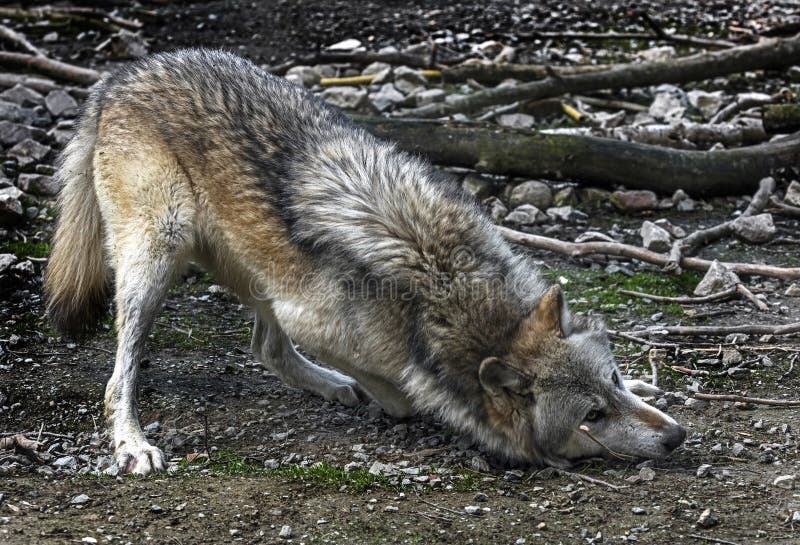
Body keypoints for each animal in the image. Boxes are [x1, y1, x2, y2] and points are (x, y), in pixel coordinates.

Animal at [44, 49, 685, 475]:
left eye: (614, 382)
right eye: (591, 417)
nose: (677, 437)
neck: (448, 290)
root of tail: (121, 74)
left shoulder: (295, 304)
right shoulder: (311, 317)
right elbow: (399, 393)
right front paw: (398, 401)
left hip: (254, 265)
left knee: (265, 348)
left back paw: (331, 388)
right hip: (159, 256)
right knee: (121, 375)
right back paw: (132, 443)